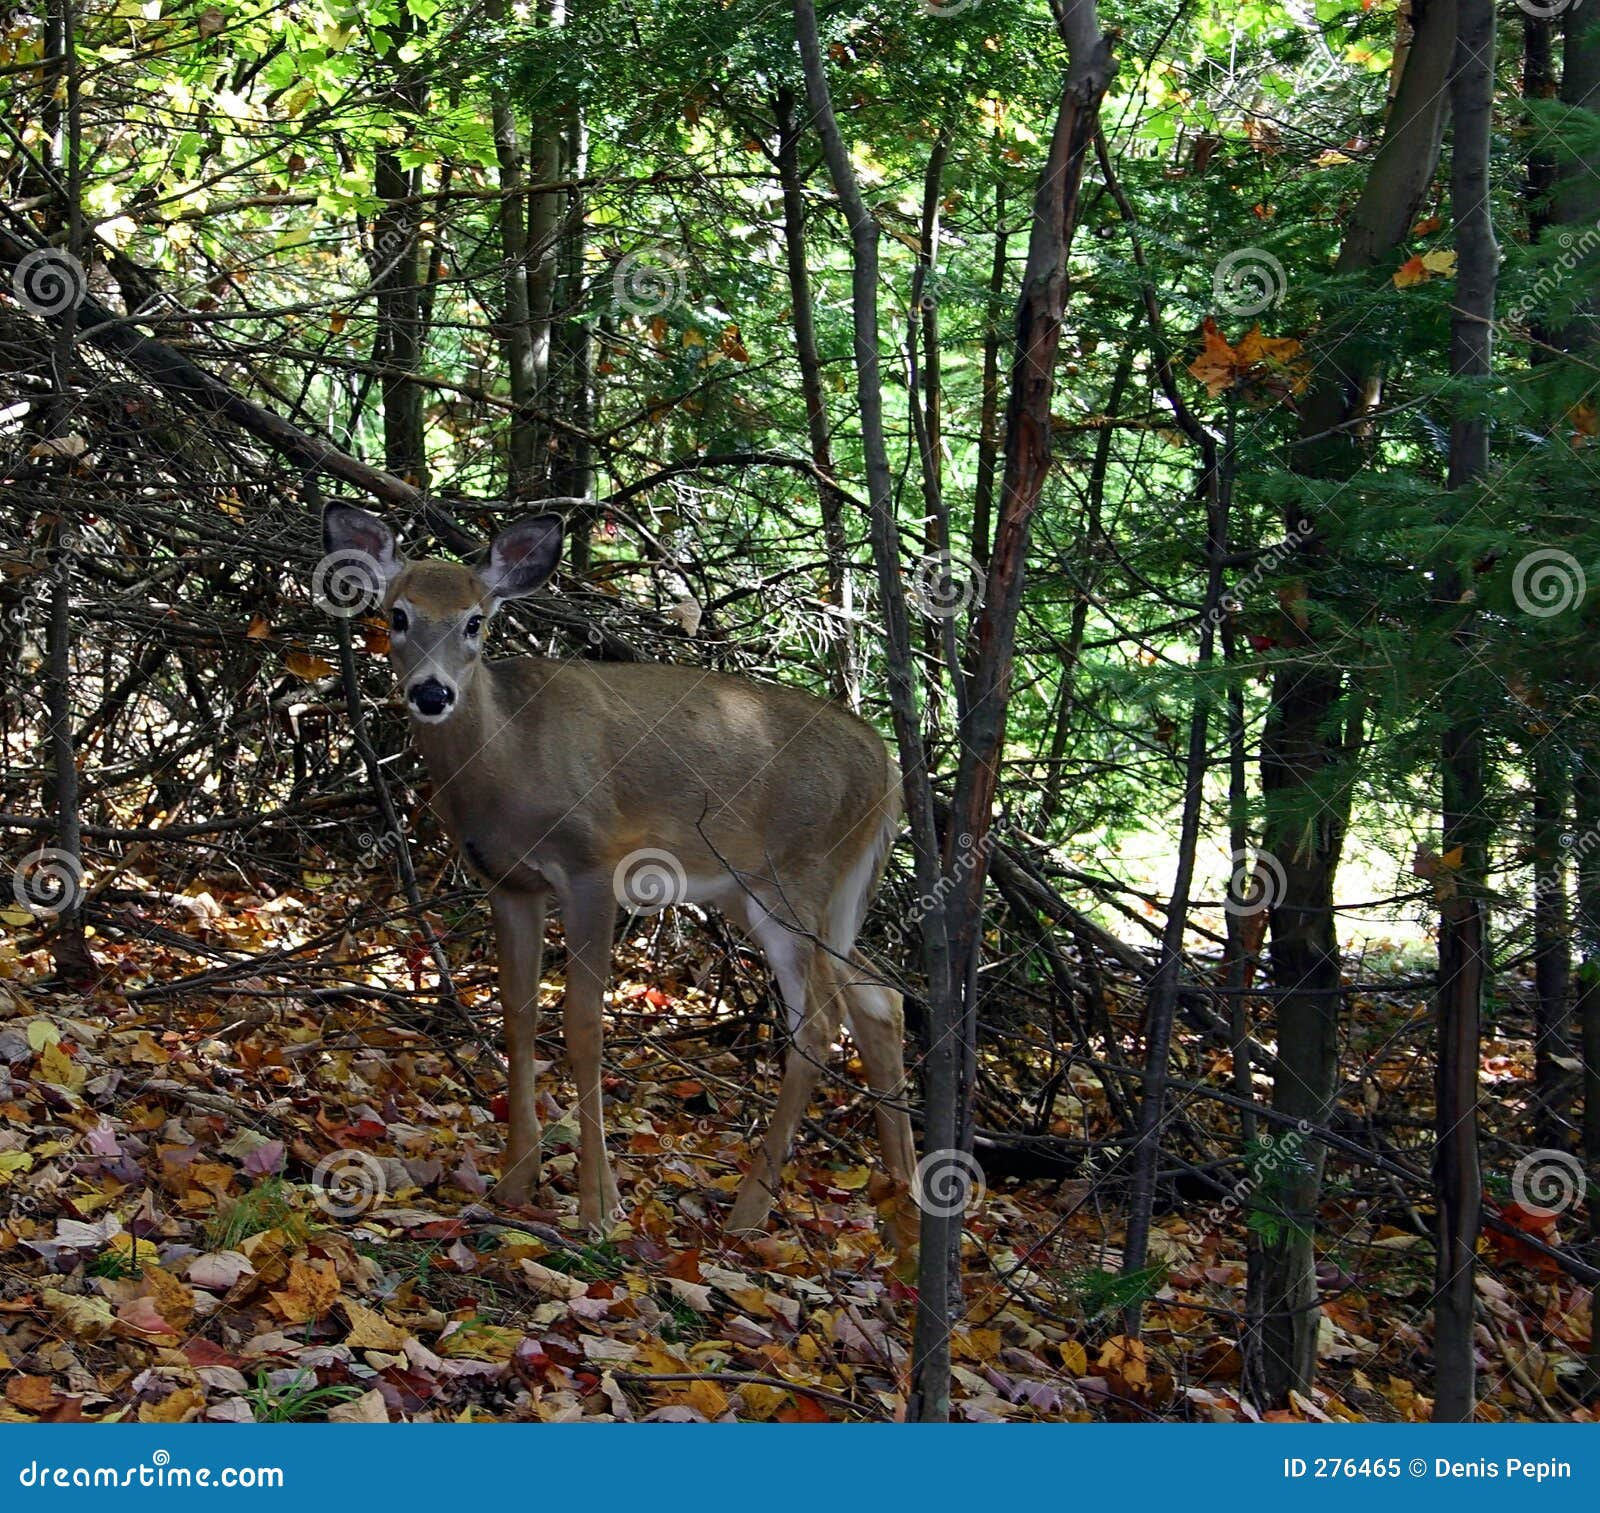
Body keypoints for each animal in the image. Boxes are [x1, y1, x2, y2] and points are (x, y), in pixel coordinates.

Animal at [321, 503, 917, 1234]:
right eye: (399, 614)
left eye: (475, 621)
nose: (432, 692)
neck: (509, 757)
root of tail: (887, 771)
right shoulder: (509, 883)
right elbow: (517, 1015)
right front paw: (514, 1182)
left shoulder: (592, 865)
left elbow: (582, 1025)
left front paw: (599, 1204)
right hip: (786, 894)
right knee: (880, 998)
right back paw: (904, 1194)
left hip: (796, 876)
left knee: (823, 1019)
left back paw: (750, 1209)